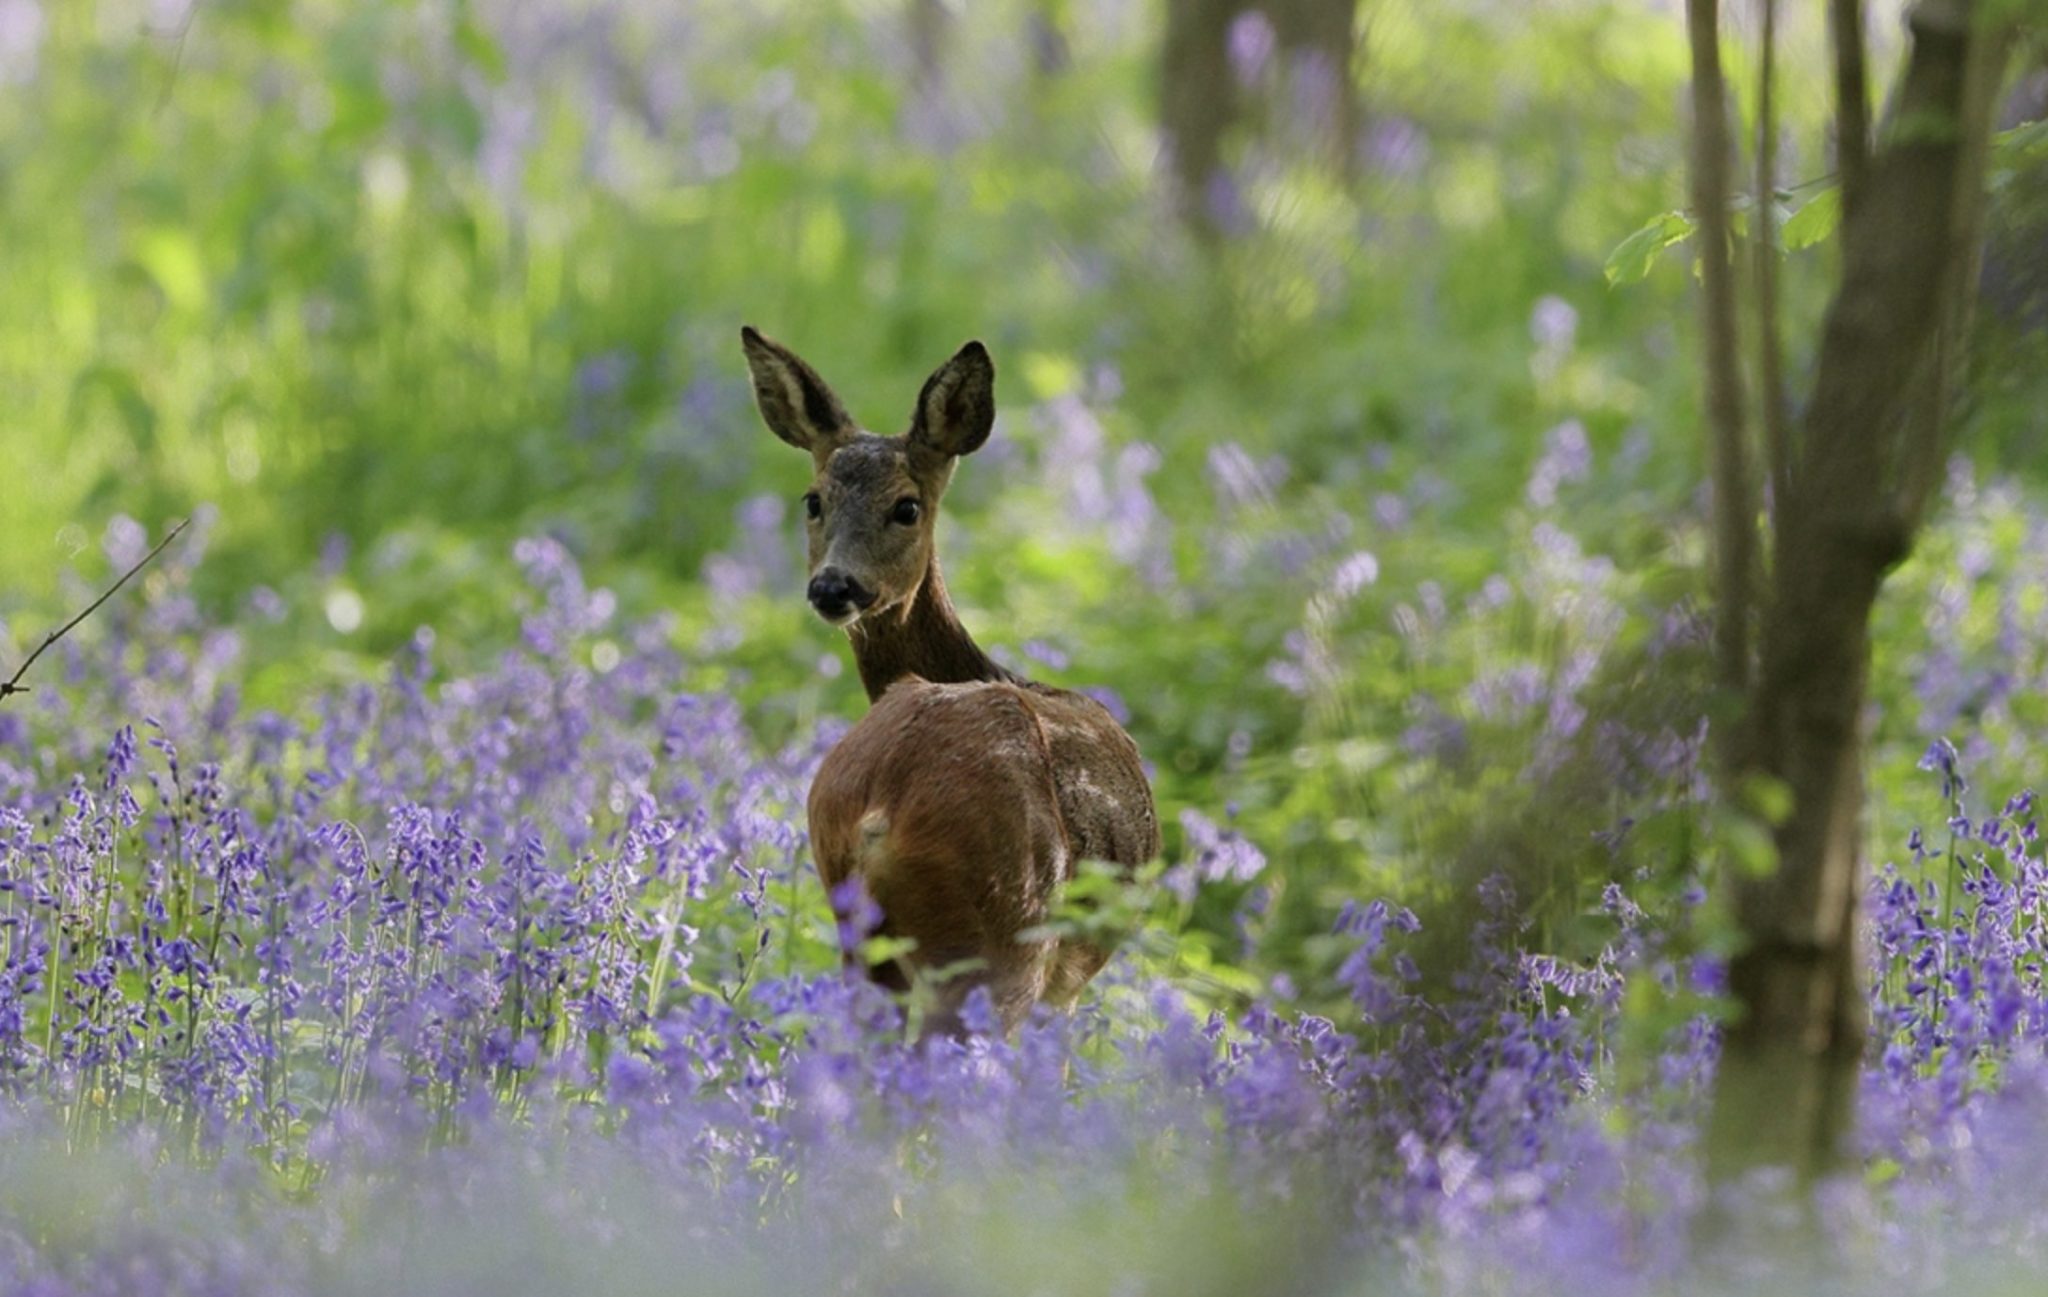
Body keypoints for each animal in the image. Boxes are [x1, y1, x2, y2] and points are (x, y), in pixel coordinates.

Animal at [740, 326, 1161, 1037]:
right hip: (999, 934)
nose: (833, 587)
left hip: (860, 931)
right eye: (815, 500)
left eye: (907, 506)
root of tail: (881, 809)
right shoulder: (1066, 984)